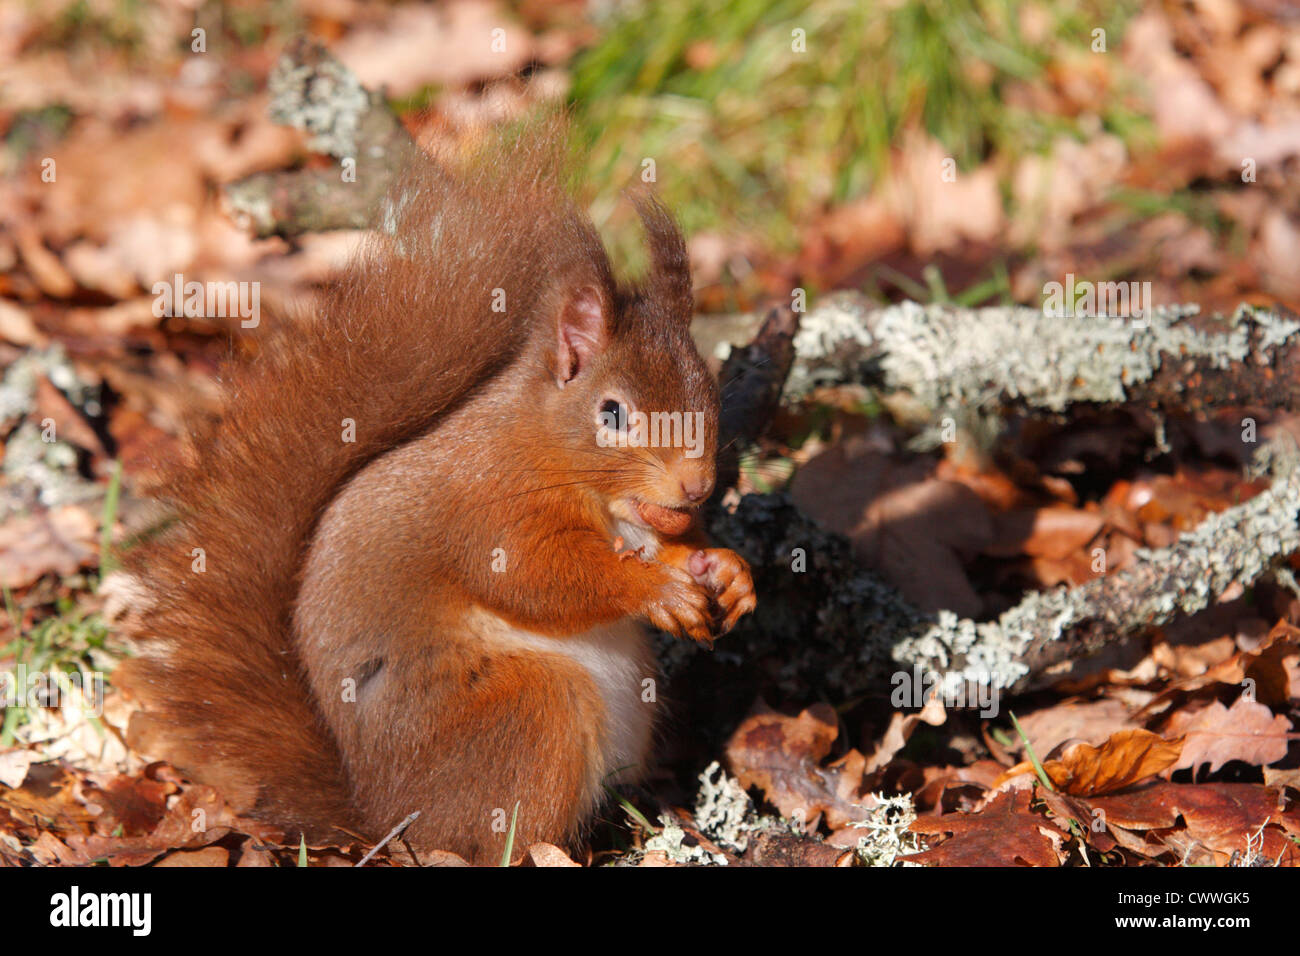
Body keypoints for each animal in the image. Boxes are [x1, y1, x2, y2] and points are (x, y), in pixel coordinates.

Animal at [113, 118, 757, 864]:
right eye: (613, 413)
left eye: (709, 389)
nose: (697, 483)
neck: (546, 447)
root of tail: (387, 821)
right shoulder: (489, 506)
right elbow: (539, 578)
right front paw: (655, 589)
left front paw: (728, 571)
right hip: (531, 709)